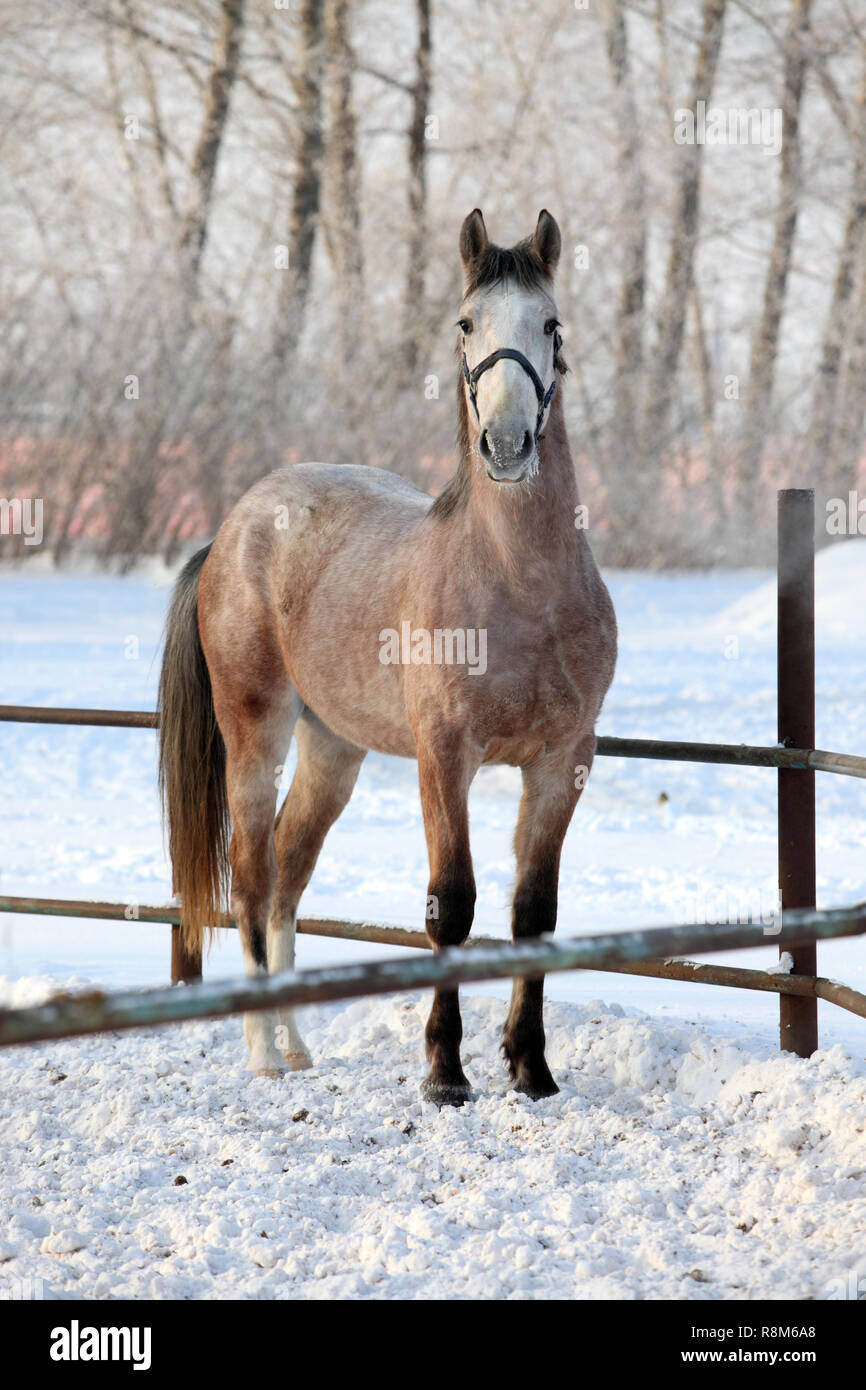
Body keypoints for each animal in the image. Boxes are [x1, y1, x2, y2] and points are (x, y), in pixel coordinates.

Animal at [158, 209, 617, 1105]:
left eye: (551, 325)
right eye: (465, 323)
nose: (506, 443)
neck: (522, 587)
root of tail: (233, 527)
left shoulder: (562, 760)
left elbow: (533, 913)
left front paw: (531, 1069)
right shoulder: (445, 755)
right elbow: (453, 905)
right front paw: (445, 1073)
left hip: (334, 748)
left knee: (289, 872)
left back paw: (298, 1045)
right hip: (256, 735)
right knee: (252, 873)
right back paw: (263, 1053)